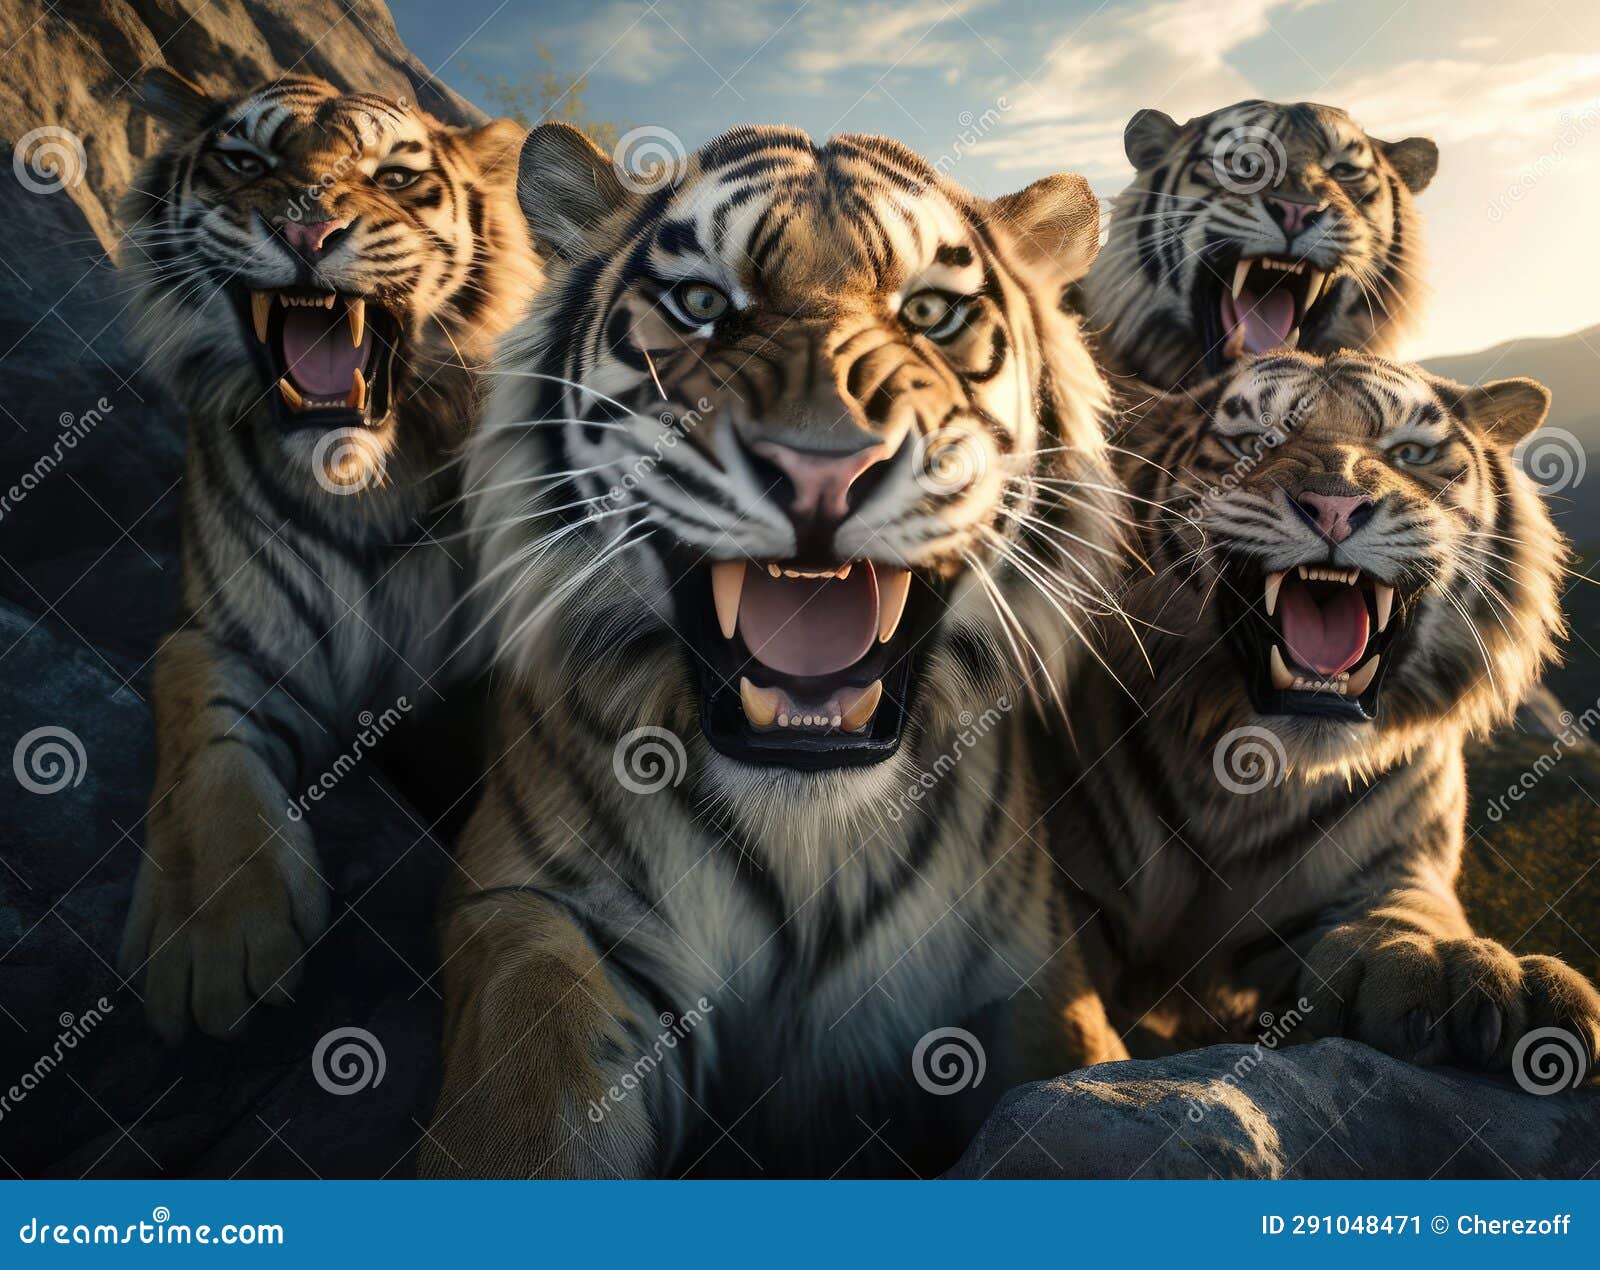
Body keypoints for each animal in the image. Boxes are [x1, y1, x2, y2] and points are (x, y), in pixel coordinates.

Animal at [113, 70, 539, 1041]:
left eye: (394, 175)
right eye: (246, 162)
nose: (305, 233)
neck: (361, 484)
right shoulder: (221, 634)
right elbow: (197, 722)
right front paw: (211, 928)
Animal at [418, 123, 1130, 1179]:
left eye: (930, 312)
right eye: (703, 304)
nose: (824, 466)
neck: (809, 834)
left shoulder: (1032, 967)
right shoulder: (538, 906)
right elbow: (528, 1068)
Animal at [1042, 350, 1600, 1078]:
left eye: (1411, 452)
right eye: (1254, 442)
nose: (1335, 507)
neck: (1247, 774)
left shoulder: (1387, 862)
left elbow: (1408, 912)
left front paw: (1454, 972)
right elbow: (1059, 1013)